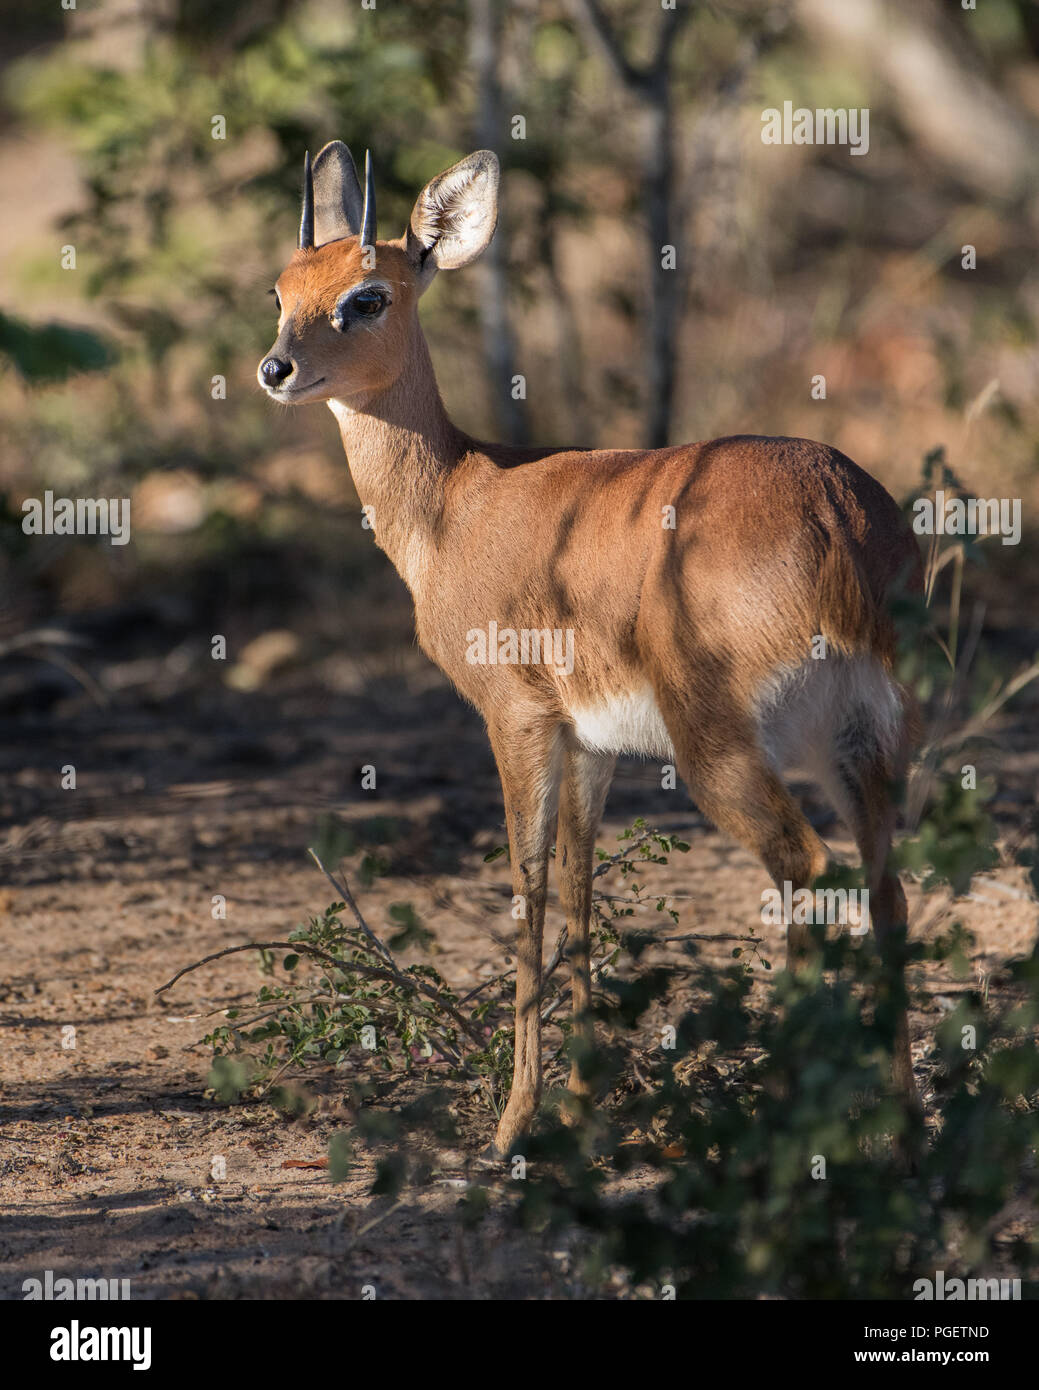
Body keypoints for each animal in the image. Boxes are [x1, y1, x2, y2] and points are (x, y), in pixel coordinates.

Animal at [258, 142, 923, 1157]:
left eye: (365, 296)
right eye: (281, 287)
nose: (276, 367)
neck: (457, 502)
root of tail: (839, 514)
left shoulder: (517, 719)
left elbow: (527, 886)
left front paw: (512, 1125)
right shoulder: (592, 742)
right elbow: (577, 888)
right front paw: (575, 1104)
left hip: (723, 754)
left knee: (807, 870)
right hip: (862, 747)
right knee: (887, 891)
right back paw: (906, 1130)